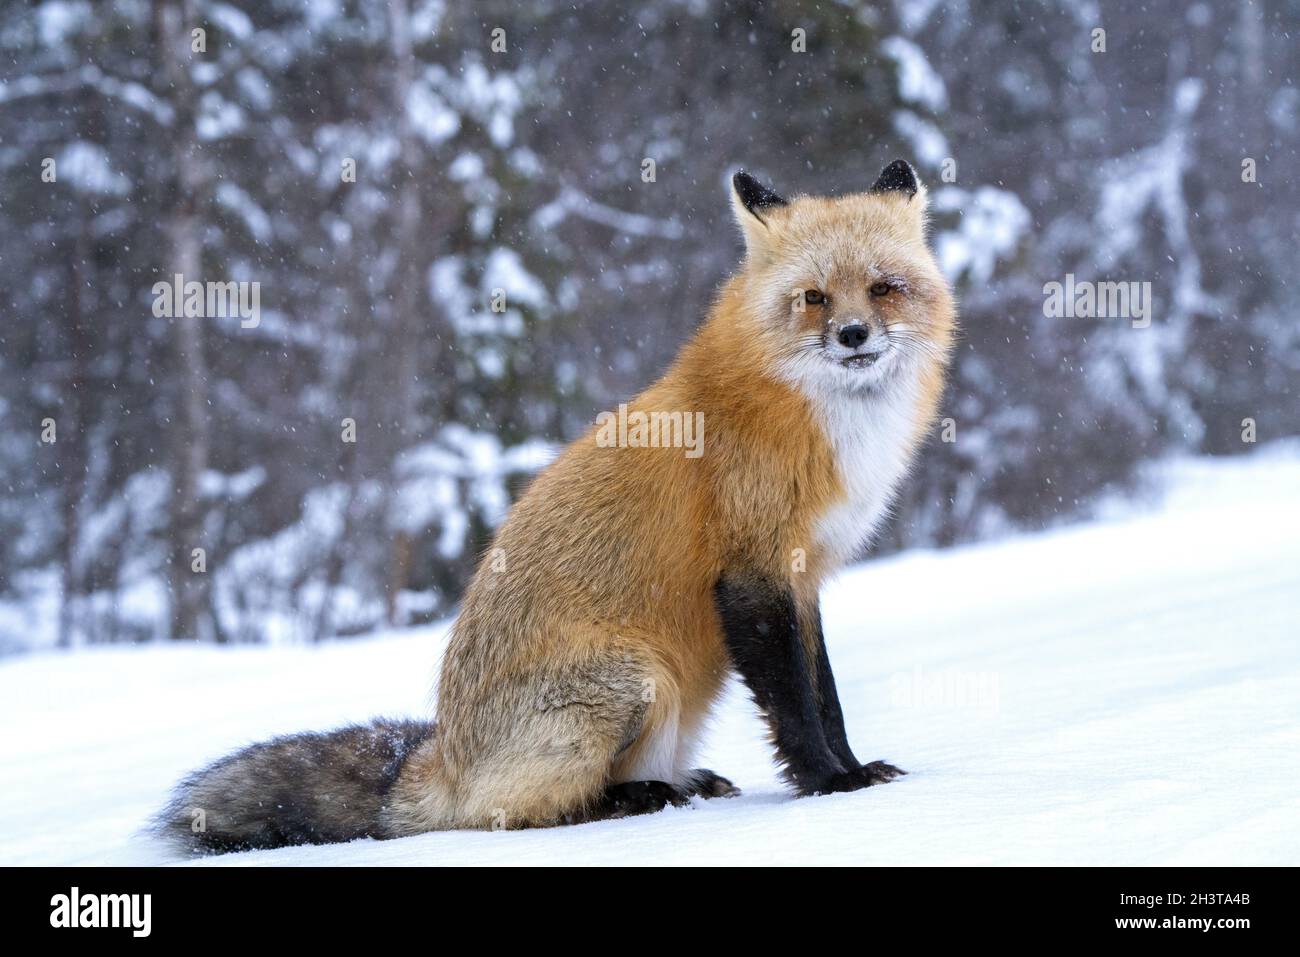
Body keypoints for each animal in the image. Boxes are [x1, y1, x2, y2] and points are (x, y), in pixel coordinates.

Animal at [161, 160, 956, 852]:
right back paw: (641, 797)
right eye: (814, 298)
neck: (816, 420)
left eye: (883, 288)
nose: (853, 336)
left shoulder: (803, 574)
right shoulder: (753, 573)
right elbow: (795, 704)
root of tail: (440, 766)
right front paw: (828, 785)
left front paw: (854, 769)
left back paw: (682, 782)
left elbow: (828, 696)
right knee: (522, 814)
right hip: (635, 681)